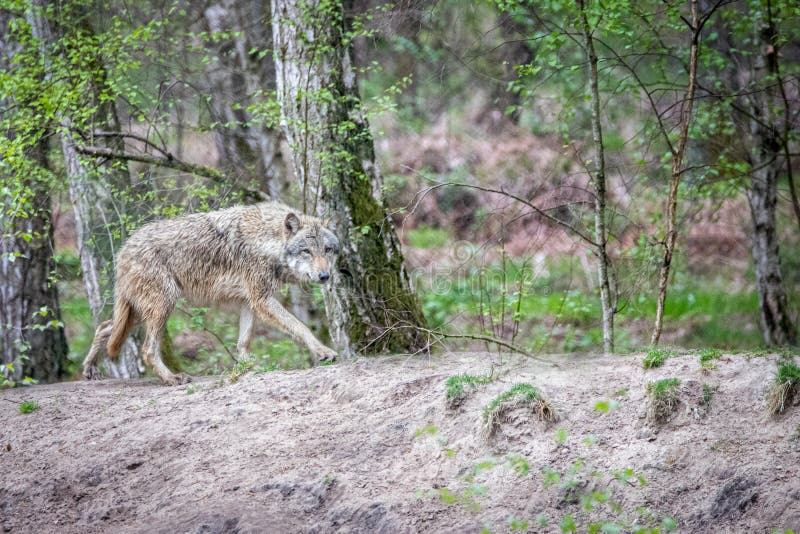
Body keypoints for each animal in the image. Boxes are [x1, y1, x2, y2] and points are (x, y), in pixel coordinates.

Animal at [82, 201, 340, 385]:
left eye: (327, 249)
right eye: (306, 251)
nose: (324, 276)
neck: (267, 240)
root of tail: (123, 249)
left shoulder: (250, 301)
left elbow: (243, 341)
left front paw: (249, 367)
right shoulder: (262, 299)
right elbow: (301, 327)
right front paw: (323, 351)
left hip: (138, 312)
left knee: (104, 327)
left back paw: (90, 368)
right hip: (162, 306)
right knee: (147, 350)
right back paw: (172, 378)